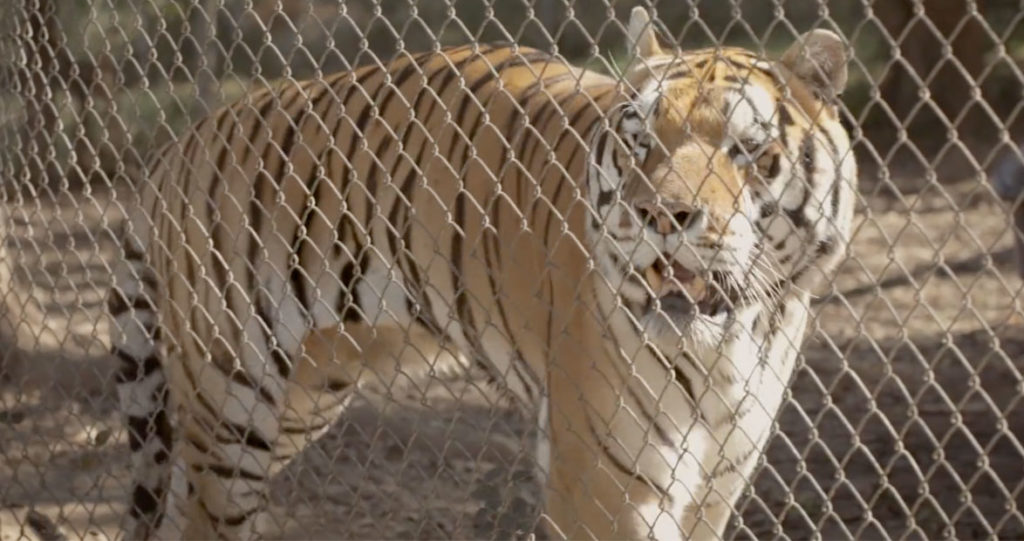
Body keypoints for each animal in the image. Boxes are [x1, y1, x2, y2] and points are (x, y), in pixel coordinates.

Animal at [109, 7, 856, 540]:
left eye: (746, 149)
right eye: (641, 140)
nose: (660, 215)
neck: (733, 339)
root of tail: (178, 145)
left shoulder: (718, 479)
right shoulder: (607, 481)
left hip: (303, 394)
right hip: (230, 393)